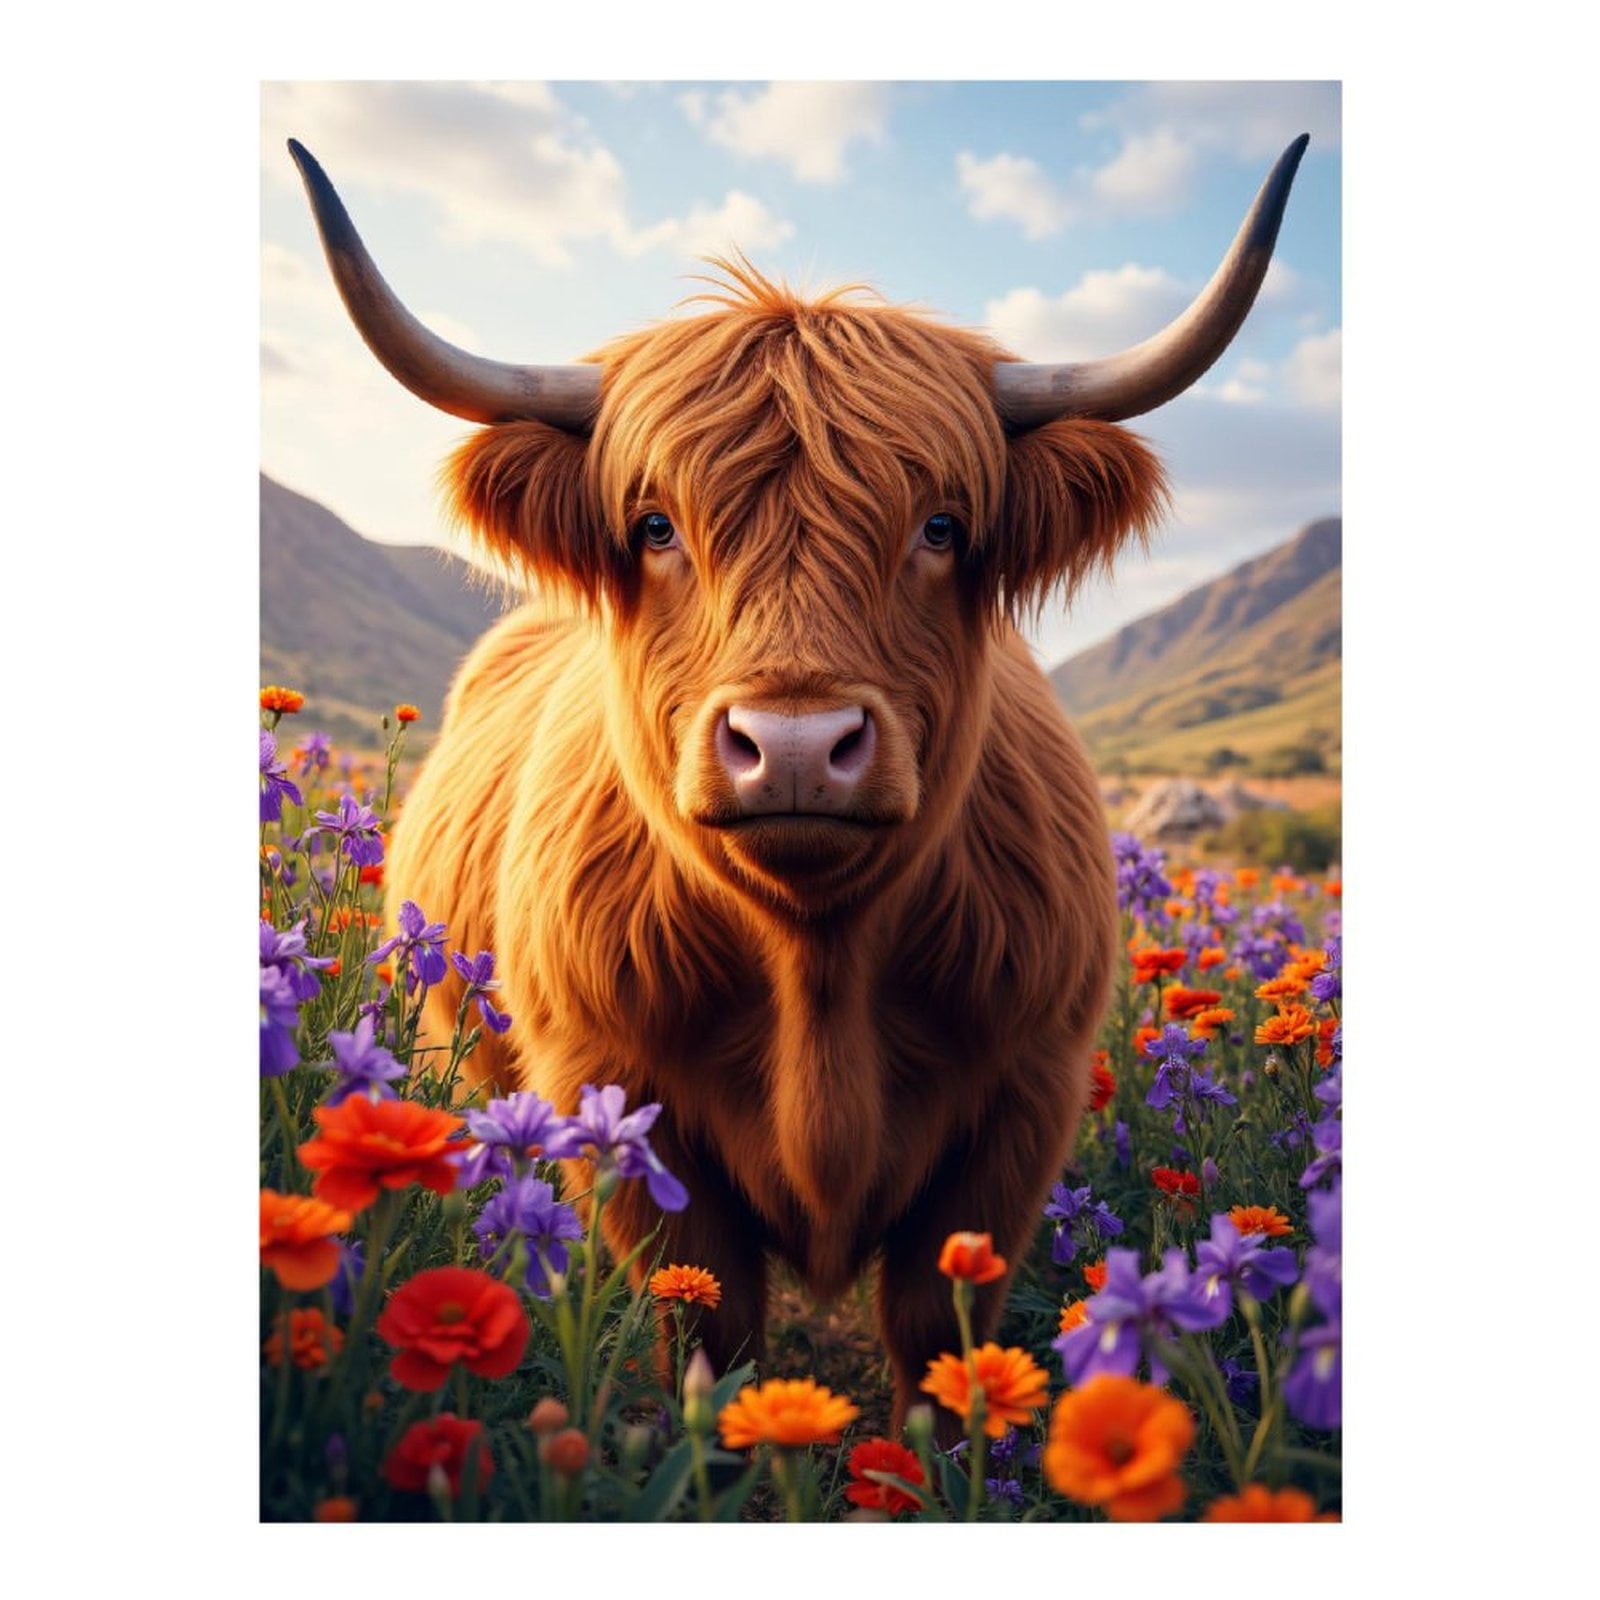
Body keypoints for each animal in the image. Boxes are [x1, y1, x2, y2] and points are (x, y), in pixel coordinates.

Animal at [288, 133, 1307, 1428]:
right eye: (655, 525)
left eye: (940, 525)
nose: (793, 742)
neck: (816, 965)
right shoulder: (615, 1098)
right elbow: (705, 1322)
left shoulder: (1022, 1103)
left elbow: (941, 1335)